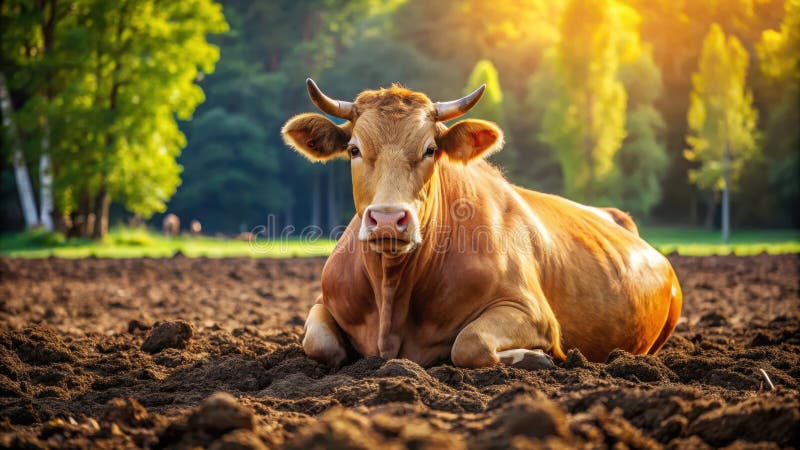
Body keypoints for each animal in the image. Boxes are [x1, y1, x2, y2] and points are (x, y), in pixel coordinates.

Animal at [281, 79, 682, 369]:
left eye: (430, 149)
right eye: (354, 149)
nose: (389, 220)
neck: (391, 292)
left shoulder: (532, 311)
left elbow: (468, 343)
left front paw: (536, 357)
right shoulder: (324, 302)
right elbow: (319, 343)